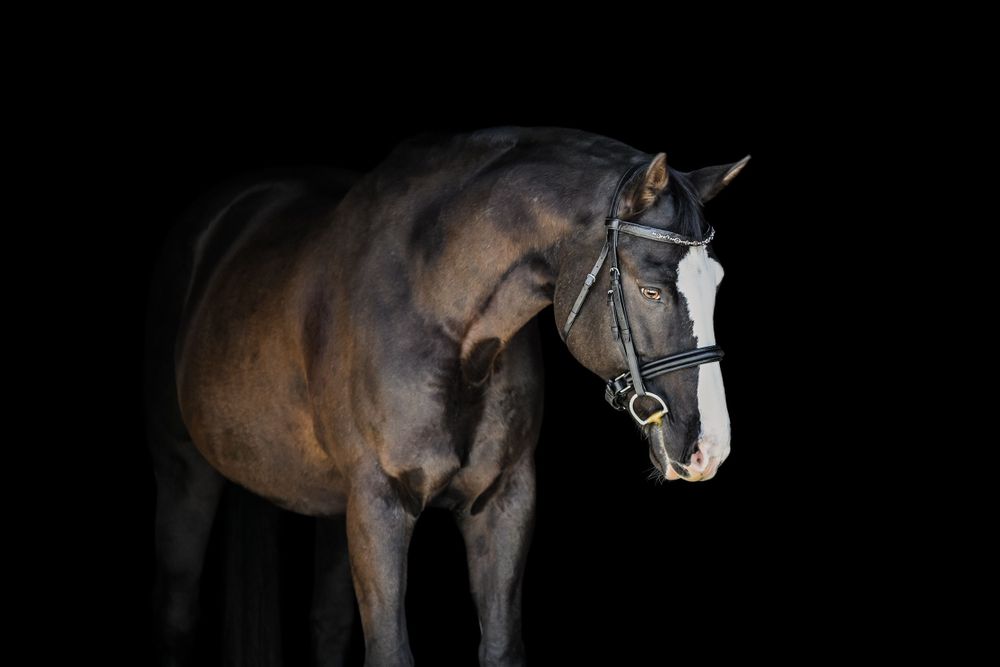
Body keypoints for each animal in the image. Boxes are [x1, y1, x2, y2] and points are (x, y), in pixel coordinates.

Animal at [145, 127, 748, 666]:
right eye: (650, 290)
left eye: (717, 282)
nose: (708, 449)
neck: (439, 316)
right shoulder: (379, 507)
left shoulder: (503, 503)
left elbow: (500, 647)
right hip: (184, 470)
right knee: (177, 615)